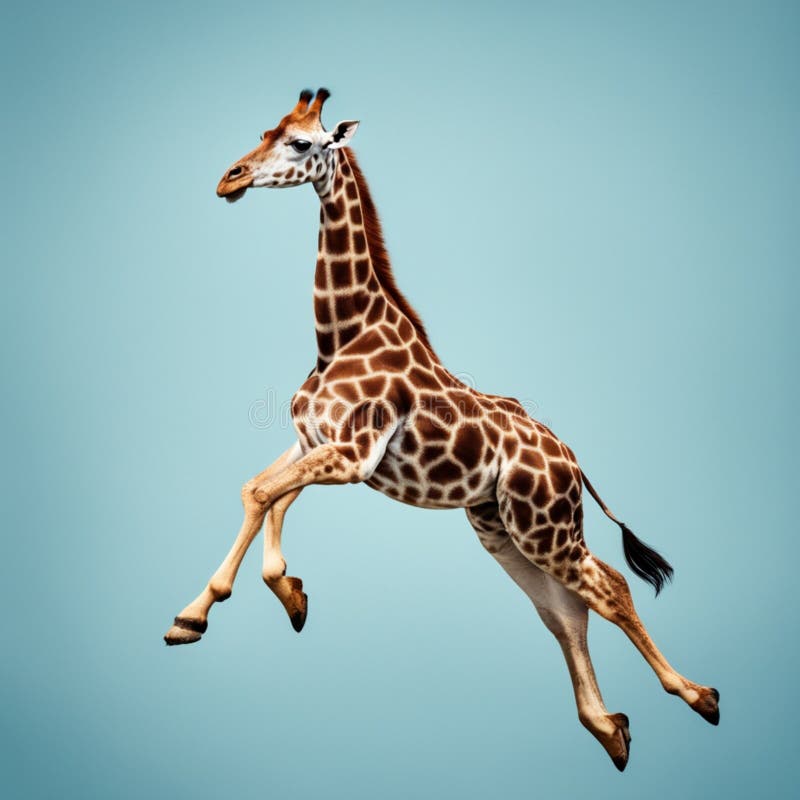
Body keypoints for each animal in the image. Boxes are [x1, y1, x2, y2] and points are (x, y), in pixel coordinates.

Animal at [164, 89, 719, 770]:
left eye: (301, 142)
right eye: (266, 130)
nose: (230, 179)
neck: (339, 335)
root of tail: (574, 462)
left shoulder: (352, 457)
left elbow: (262, 494)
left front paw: (194, 616)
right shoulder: (318, 444)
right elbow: (262, 492)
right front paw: (290, 594)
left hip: (546, 529)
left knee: (609, 588)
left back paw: (698, 696)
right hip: (502, 530)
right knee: (564, 613)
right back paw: (610, 728)